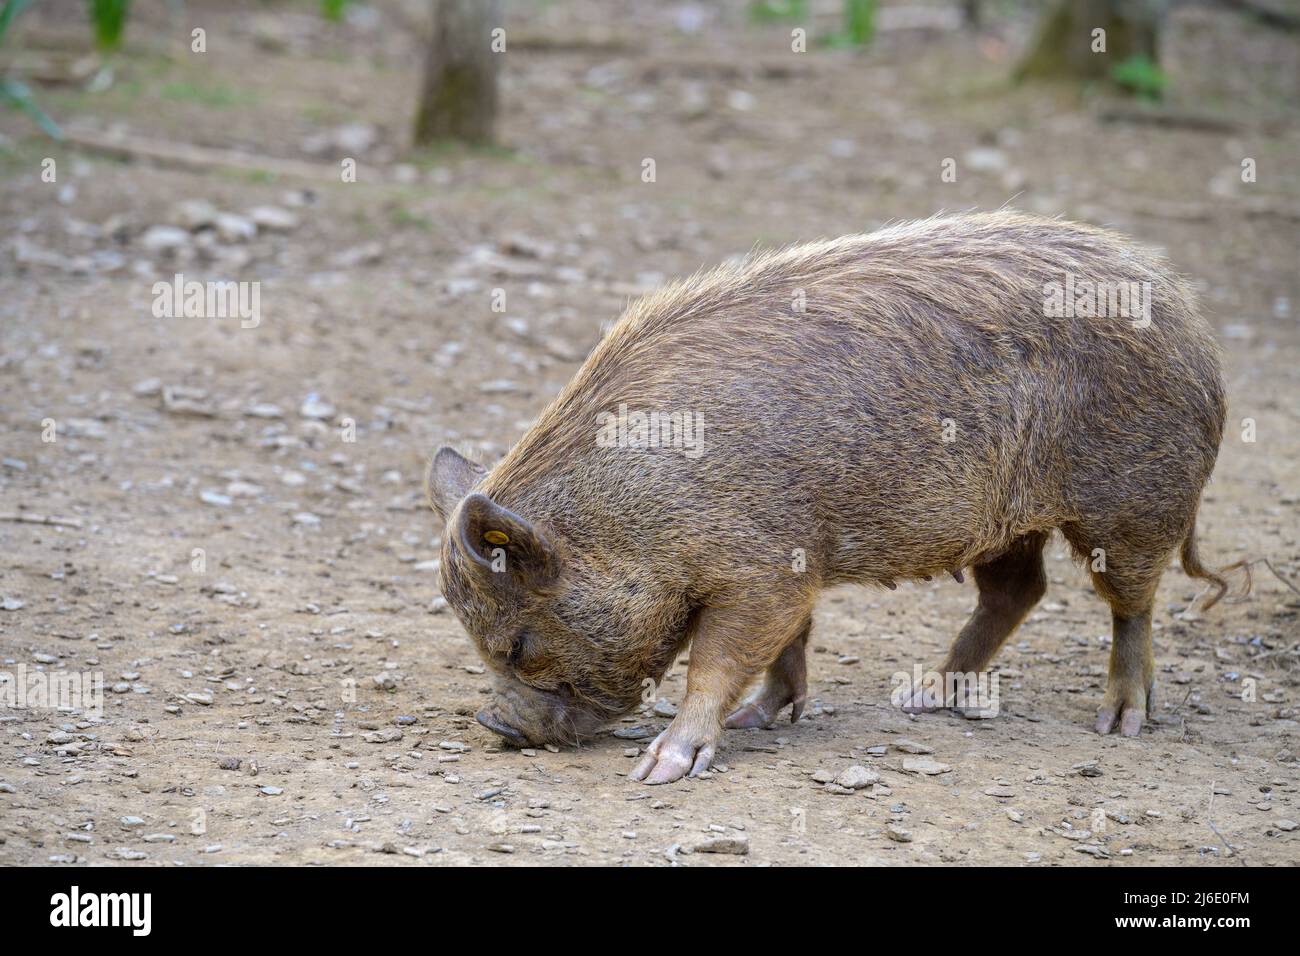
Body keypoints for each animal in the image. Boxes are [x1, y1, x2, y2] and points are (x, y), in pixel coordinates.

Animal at [427, 211, 1237, 784]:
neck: (634, 510)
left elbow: (721, 656)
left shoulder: (758, 565)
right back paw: (921, 698)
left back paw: (1119, 724)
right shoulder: (795, 562)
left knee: (1132, 604)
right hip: (1006, 523)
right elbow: (789, 640)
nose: (494, 723)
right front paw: (762, 720)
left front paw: (661, 767)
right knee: (1019, 590)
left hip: (1136, 504)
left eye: (517, 643)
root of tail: (1191, 316)